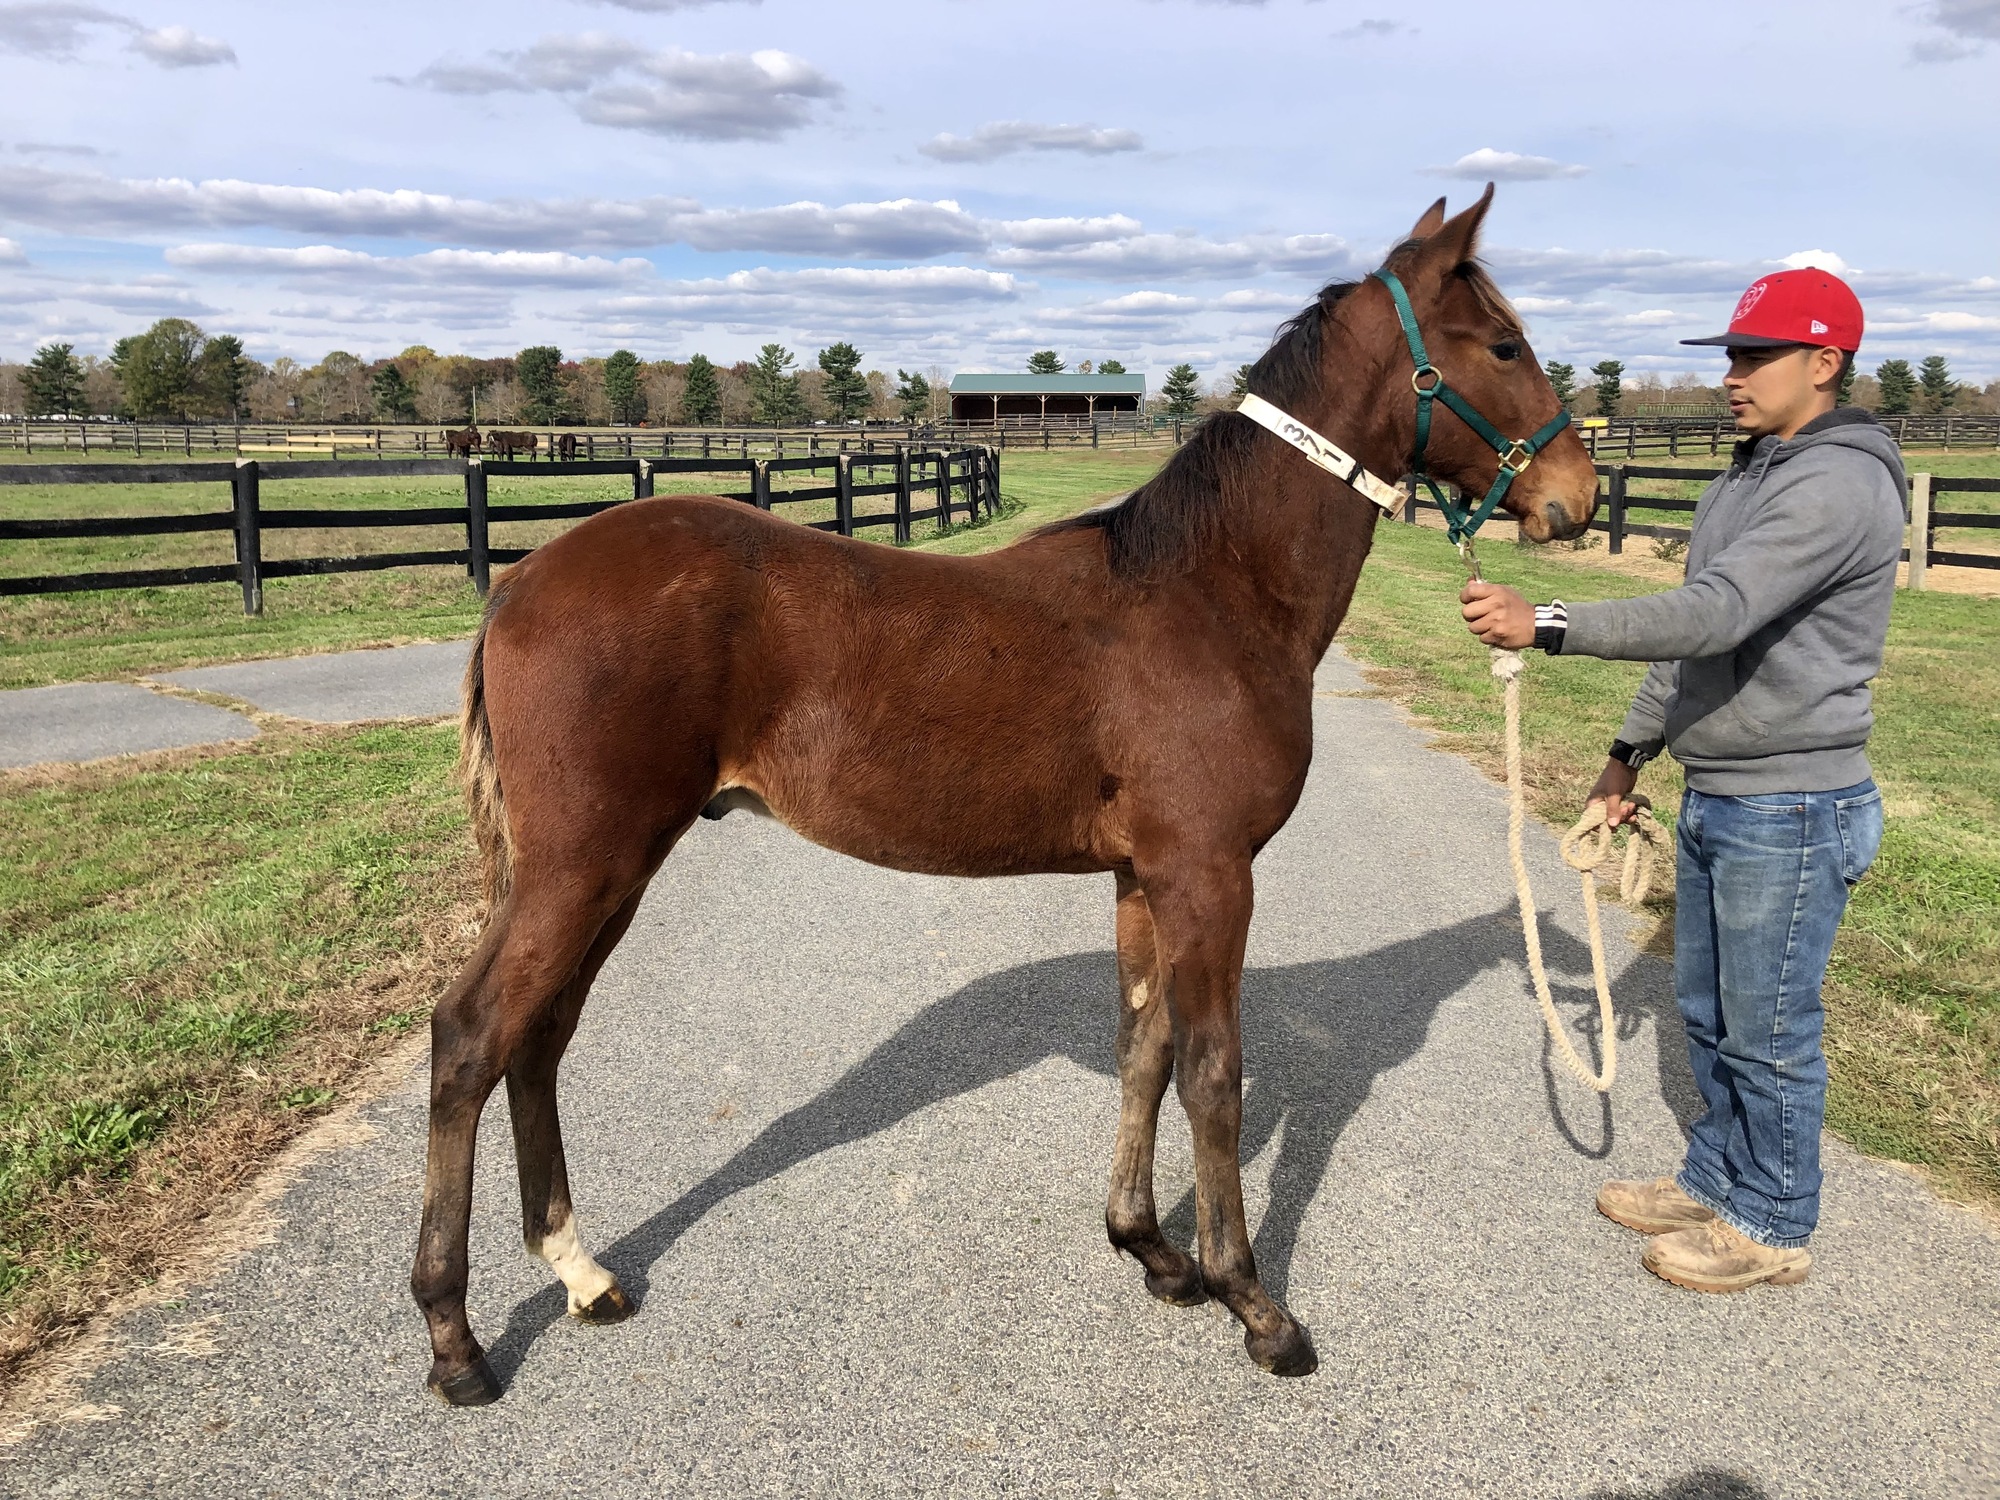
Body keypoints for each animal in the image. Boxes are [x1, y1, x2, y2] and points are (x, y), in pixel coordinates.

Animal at [411, 187, 1600, 1405]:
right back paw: (456, 1340)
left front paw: (1150, 1250)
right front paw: (1255, 1306)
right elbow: (1214, 1073)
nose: (1575, 497)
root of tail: (521, 582)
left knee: (539, 1038)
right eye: (1503, 344)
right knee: (472, 1034)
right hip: (586, 861)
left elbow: (1143, 1048)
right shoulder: (1208, 872)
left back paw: (579, 1271)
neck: (1211, 590)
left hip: (615, 867)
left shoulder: (1141, 876)